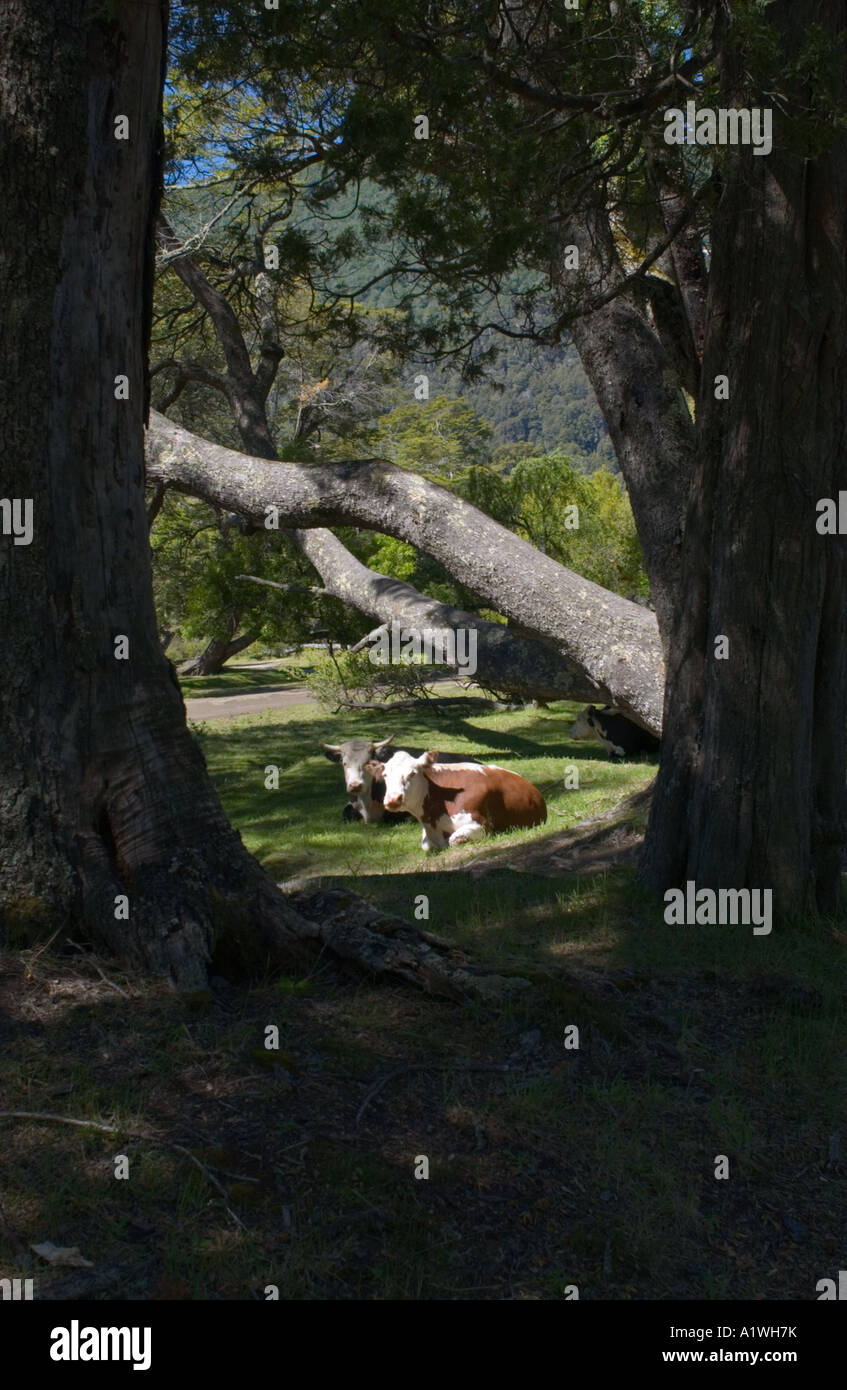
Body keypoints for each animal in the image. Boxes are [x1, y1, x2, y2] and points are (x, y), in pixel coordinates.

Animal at [366, 749, 546, 853]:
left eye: (412, 773)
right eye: (385, 775)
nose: (393, 799)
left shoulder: (483, 825)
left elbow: (454, 839)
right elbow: (426, 845)